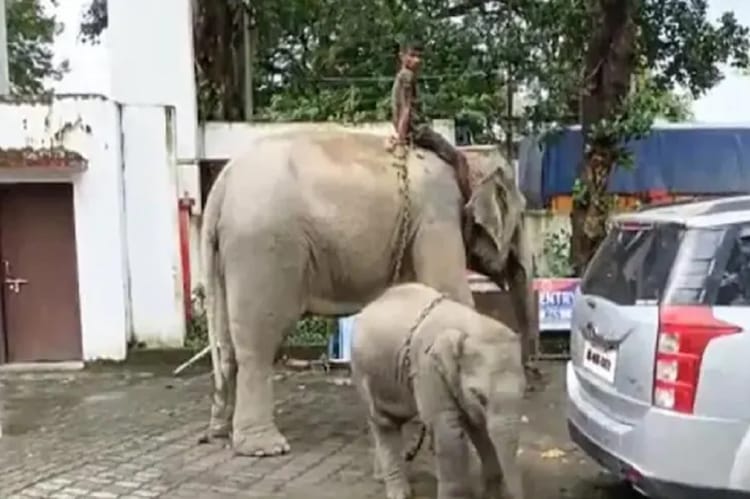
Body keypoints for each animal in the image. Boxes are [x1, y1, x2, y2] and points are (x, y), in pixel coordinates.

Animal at [200, 127, 533, 457]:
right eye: (522, 216)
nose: (533, 376)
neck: (459, 154)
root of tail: (221, 186)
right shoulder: (438, 218)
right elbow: (450, 292)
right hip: (264, 247)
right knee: (258, 340)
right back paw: (264, 447)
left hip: (230, 254)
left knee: (226, 343)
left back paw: (219, 432)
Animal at [351, 282, 525, 499]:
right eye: (480, 396)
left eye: (524, 390)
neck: (472, 325)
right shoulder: (428, 368)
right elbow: (448, 432)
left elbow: (478, 429)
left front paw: (490, 494)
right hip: (363, 372)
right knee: (384, 422)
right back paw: (398, 492)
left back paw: (382, 477)